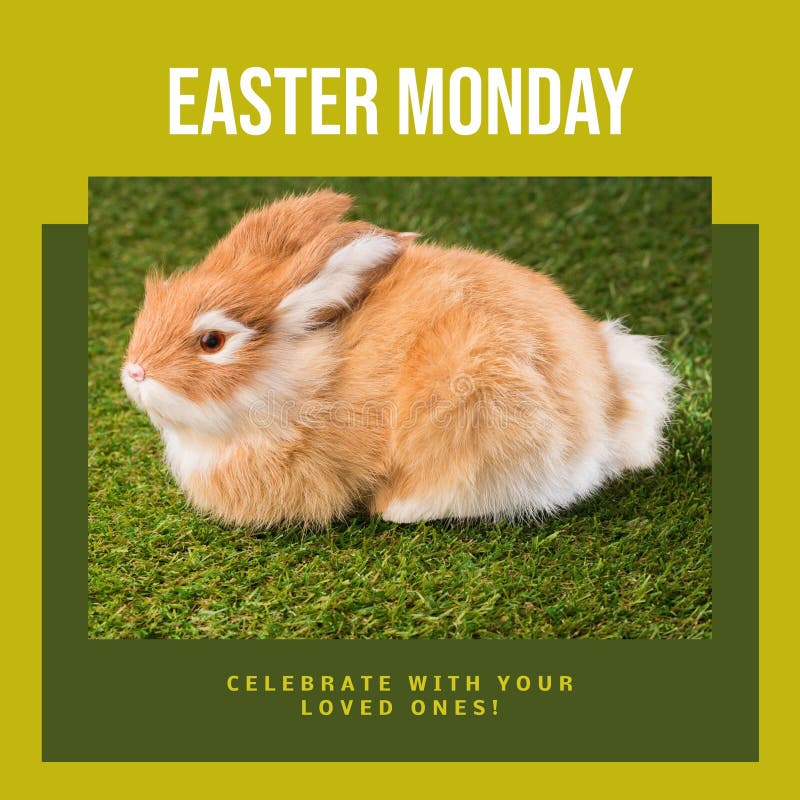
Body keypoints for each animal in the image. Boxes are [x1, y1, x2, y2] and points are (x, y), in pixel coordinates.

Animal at [121, 190, 676, 526]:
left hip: (472, 404)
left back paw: (396, 507)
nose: (133, 371)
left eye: (212, 341)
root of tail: (608, 412)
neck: (304, 377)